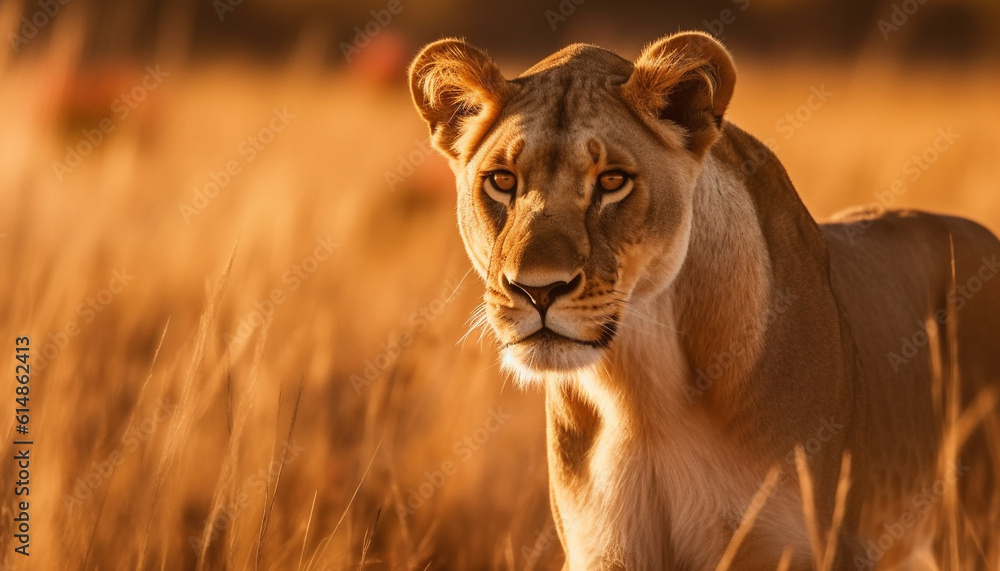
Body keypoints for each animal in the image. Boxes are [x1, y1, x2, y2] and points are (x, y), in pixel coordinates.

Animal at [408, 32, 1000, 570]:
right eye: (502, 180)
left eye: (612, 181)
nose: (537, 289)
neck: (642, 391)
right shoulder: (605, 550)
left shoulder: (815, 547)